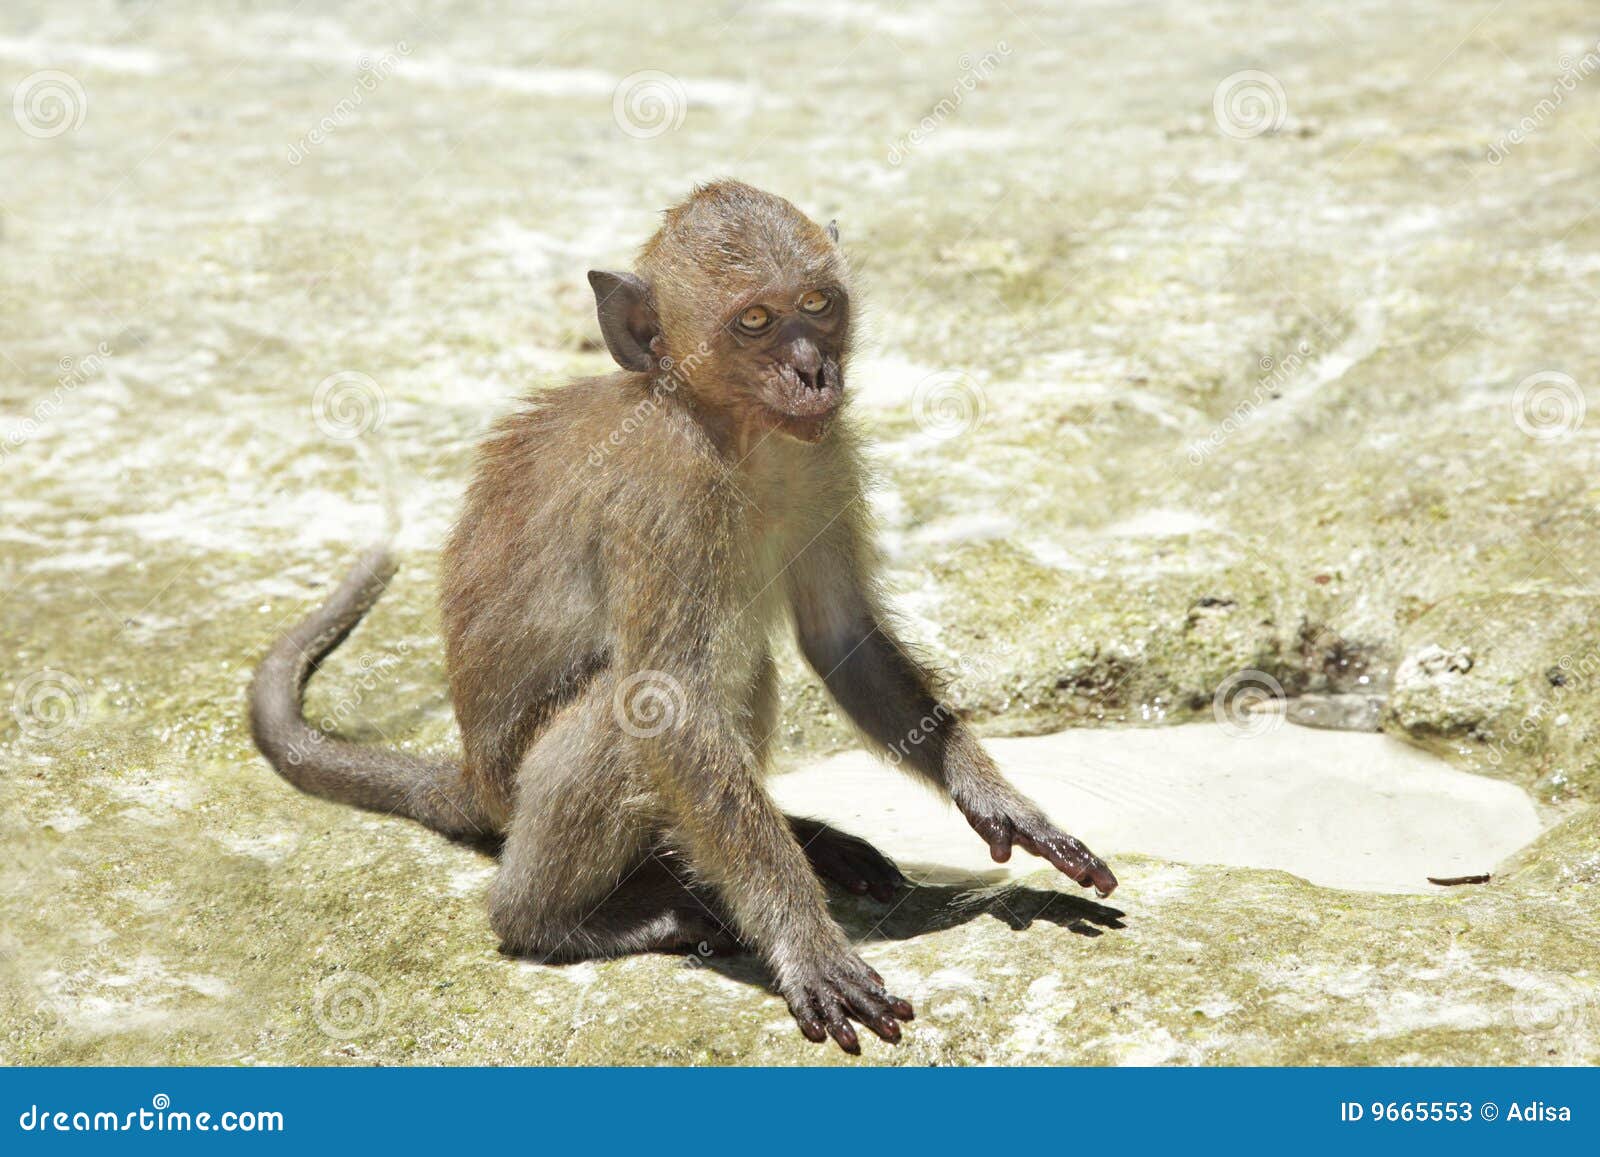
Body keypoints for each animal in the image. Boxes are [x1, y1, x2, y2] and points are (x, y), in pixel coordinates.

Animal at [249, 179, 1116, 1054]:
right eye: (755, 321)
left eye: (817, 304)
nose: (814, 371)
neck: (737, 432)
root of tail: (472, 777)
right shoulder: (664, 494)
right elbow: (663, 701)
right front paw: (805, 942)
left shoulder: (824, 455)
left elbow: (844, 642)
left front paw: (998, 800)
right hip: (516, 784)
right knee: (622, 712)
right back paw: (553, 918)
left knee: (744, 671)